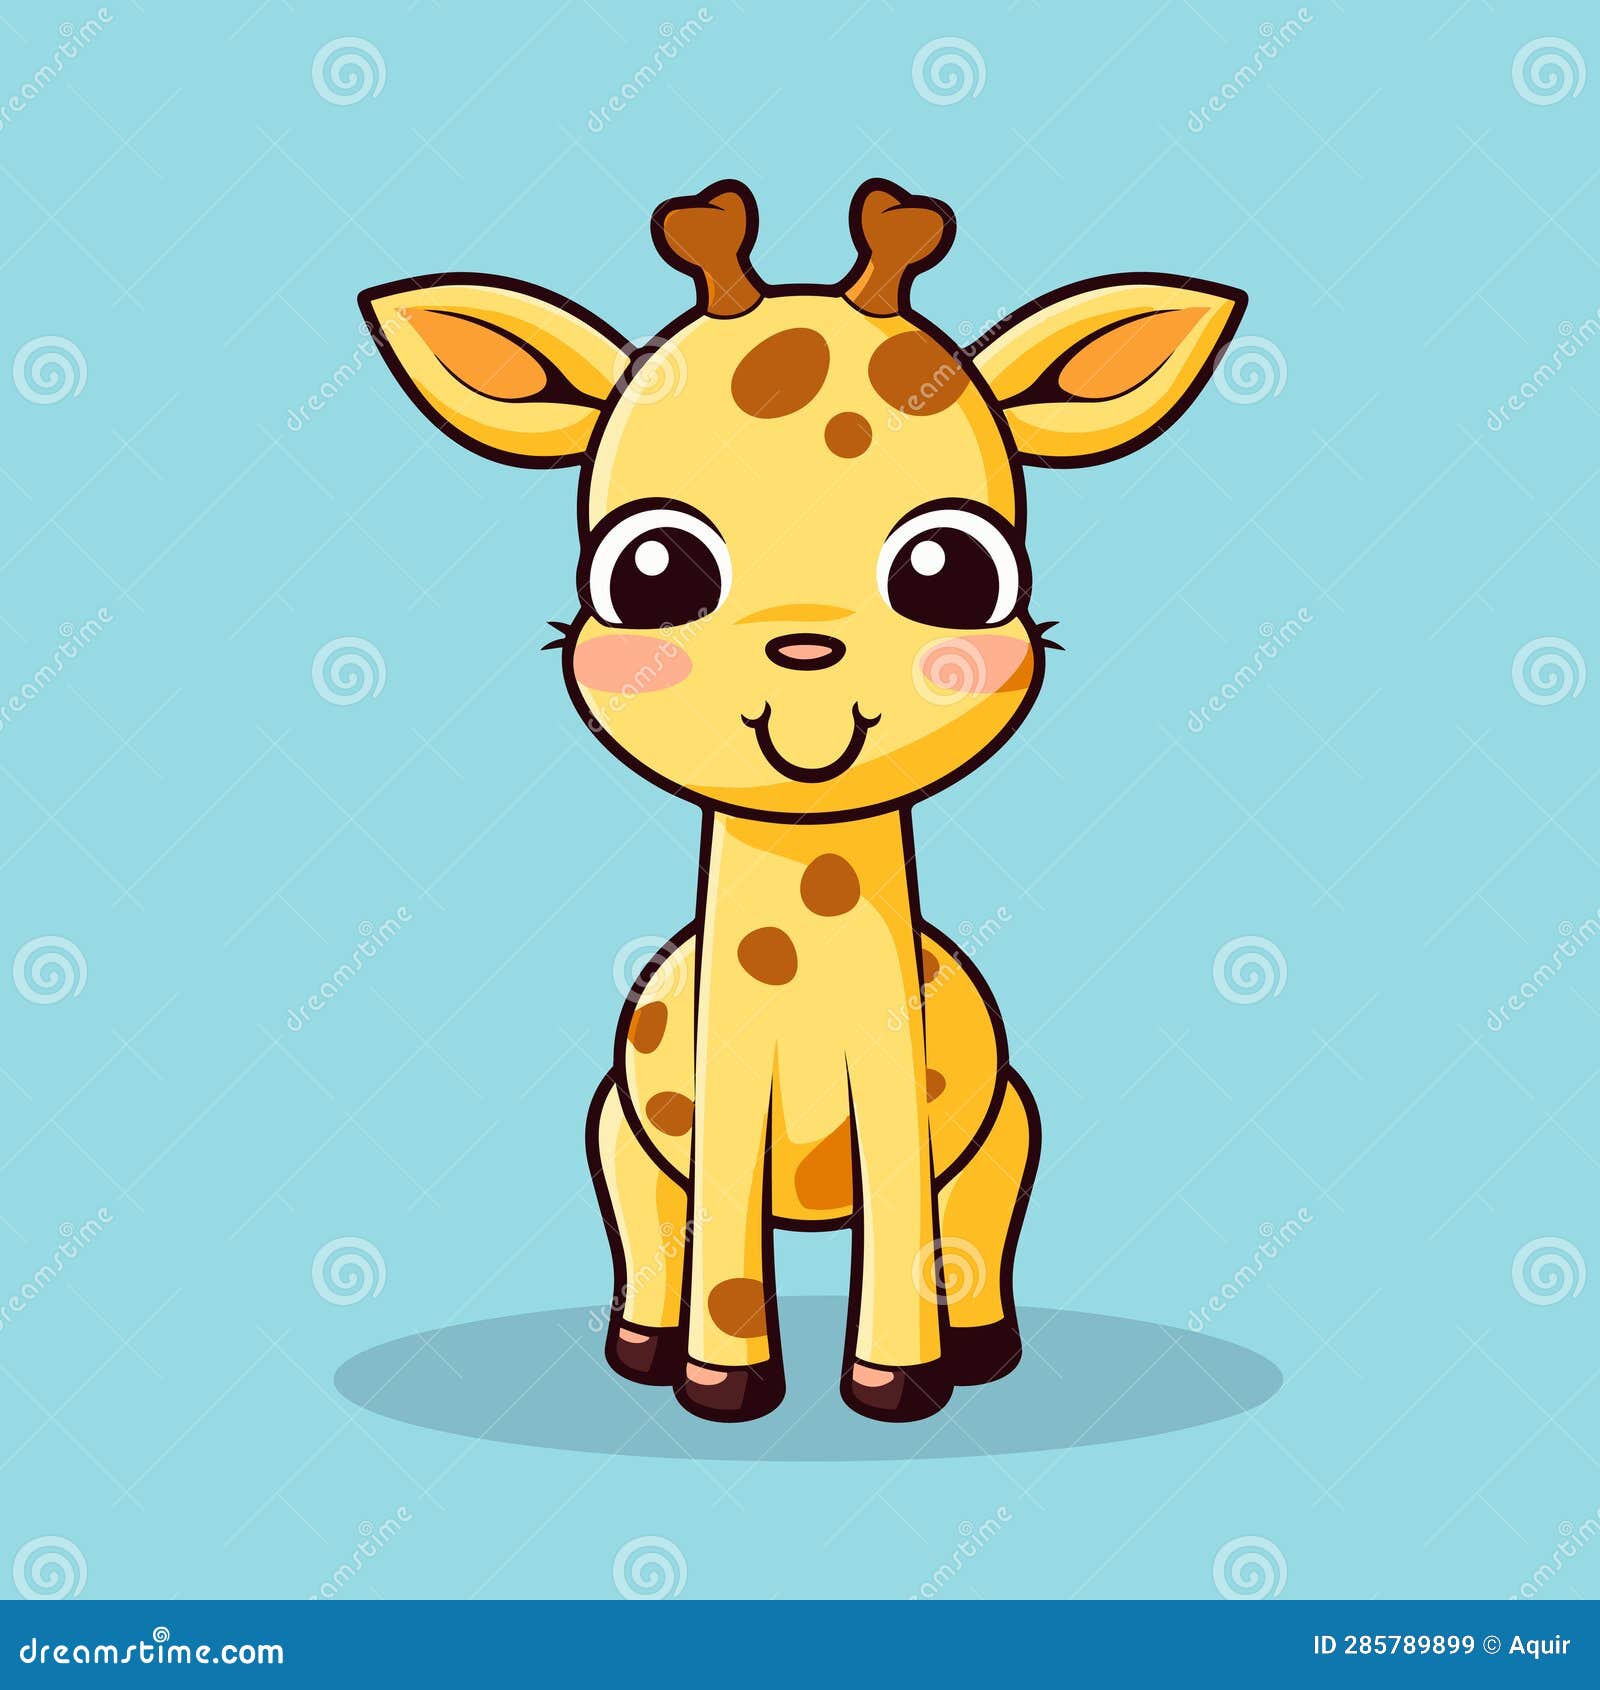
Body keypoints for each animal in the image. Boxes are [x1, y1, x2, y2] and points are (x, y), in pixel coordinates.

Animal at [360, 180, 1245, 1424]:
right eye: (650, 572)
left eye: (953, 571)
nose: (806, 652)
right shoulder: (717, 1110)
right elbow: (723, 1252)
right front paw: (721, 1383)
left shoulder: (902, 1109)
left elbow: (908, 1236)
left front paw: (896, 1381)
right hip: (620, 1134)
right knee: (651, 1235)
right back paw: (641, 1347)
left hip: (1006, 1131)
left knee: (977, 1231)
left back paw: (983, 1350)